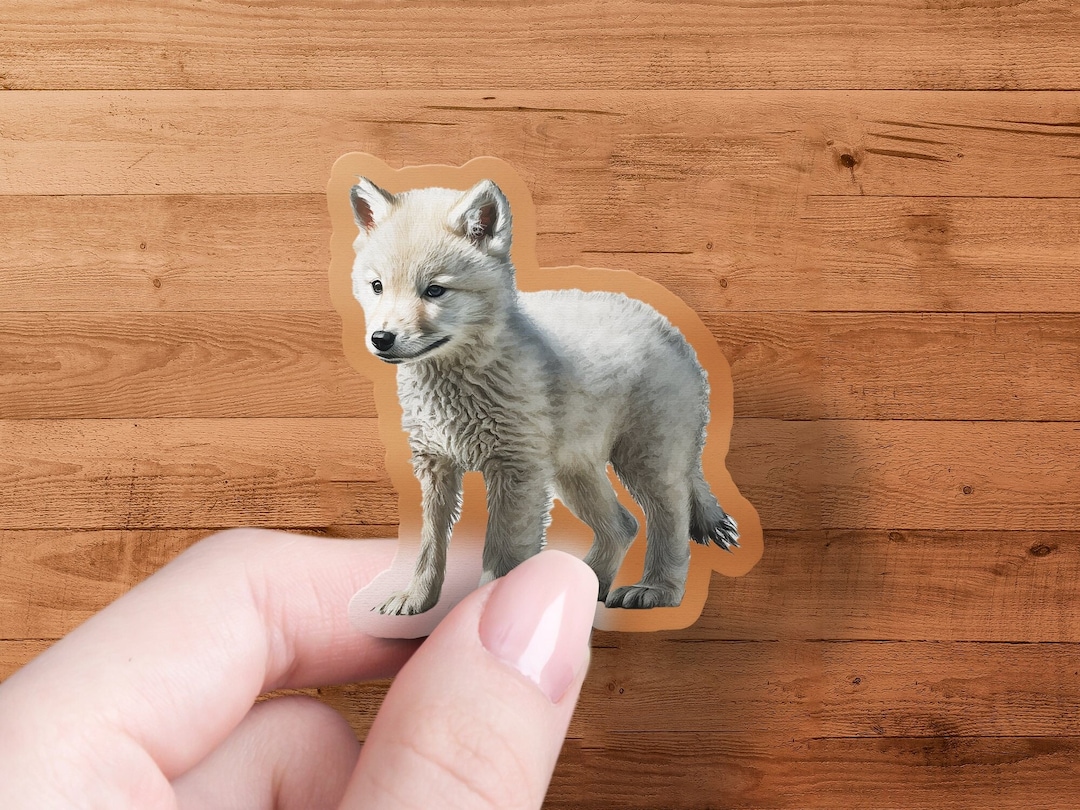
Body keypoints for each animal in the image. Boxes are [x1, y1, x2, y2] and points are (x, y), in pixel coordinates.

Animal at [349, 177, 739, 615]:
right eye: (377, 286)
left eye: (435, 290)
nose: (381, 339)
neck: (456, 385)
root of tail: (668, 326)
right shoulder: (437, 464)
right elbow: (430, 545)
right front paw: (415, 598)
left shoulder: (515, 471)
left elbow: (502, 553)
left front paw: (488, 610)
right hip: (572, 471)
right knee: (623, 525)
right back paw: (580, 584)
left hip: (645, 462)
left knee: (671, 519)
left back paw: (656, 589)